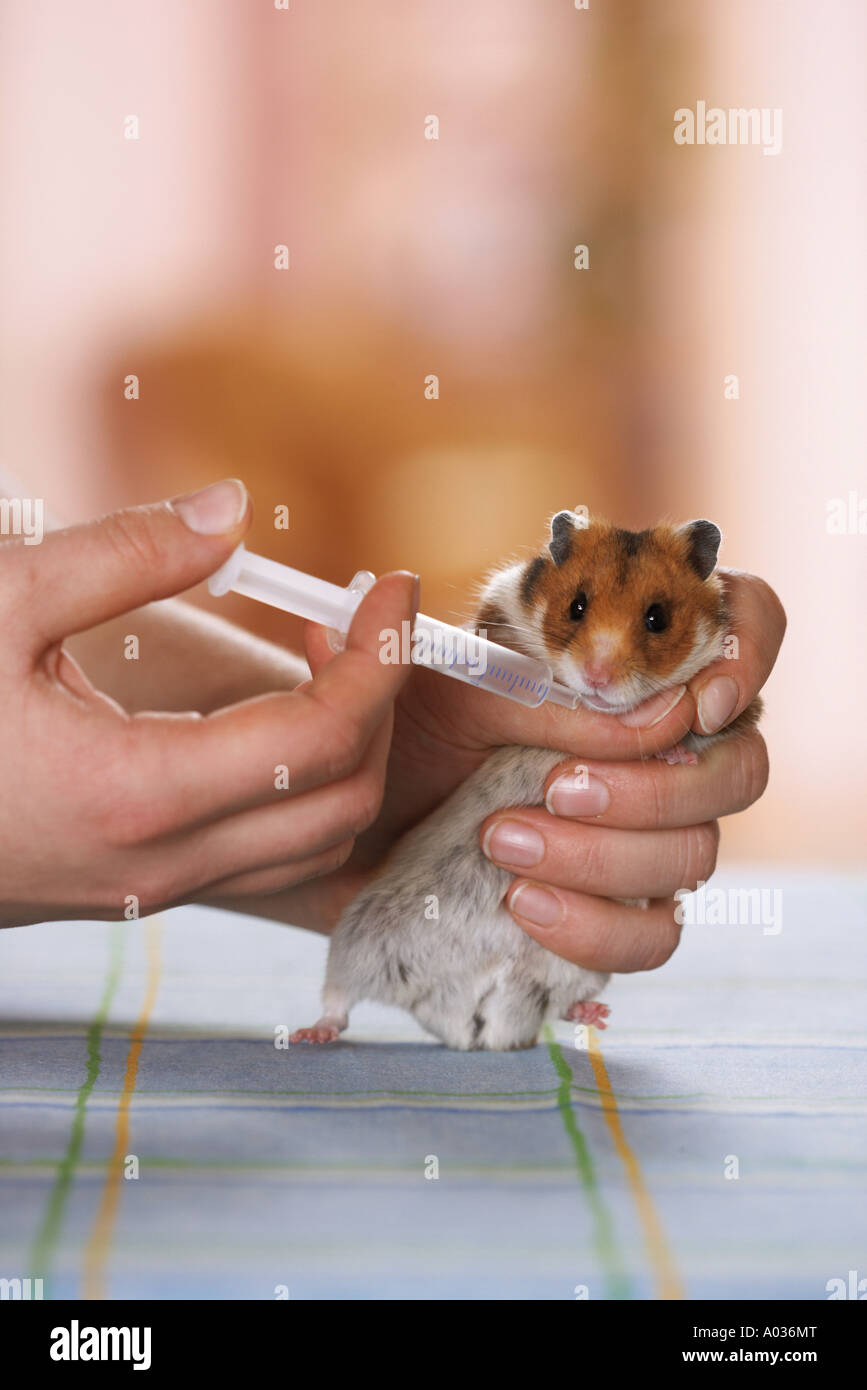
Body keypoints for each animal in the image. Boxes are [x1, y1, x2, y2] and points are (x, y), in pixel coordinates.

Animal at [291, 513, 761, 1051]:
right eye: (577, 606)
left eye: (657, 618)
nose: (596, 678)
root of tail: (470, 1024)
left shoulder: (729, 709)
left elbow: (699, 730)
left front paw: (675, 755)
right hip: (362, 936)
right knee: (338, 997)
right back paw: (311, 1035)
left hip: (576, 969)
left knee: (558, 1005)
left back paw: (595, 1015)